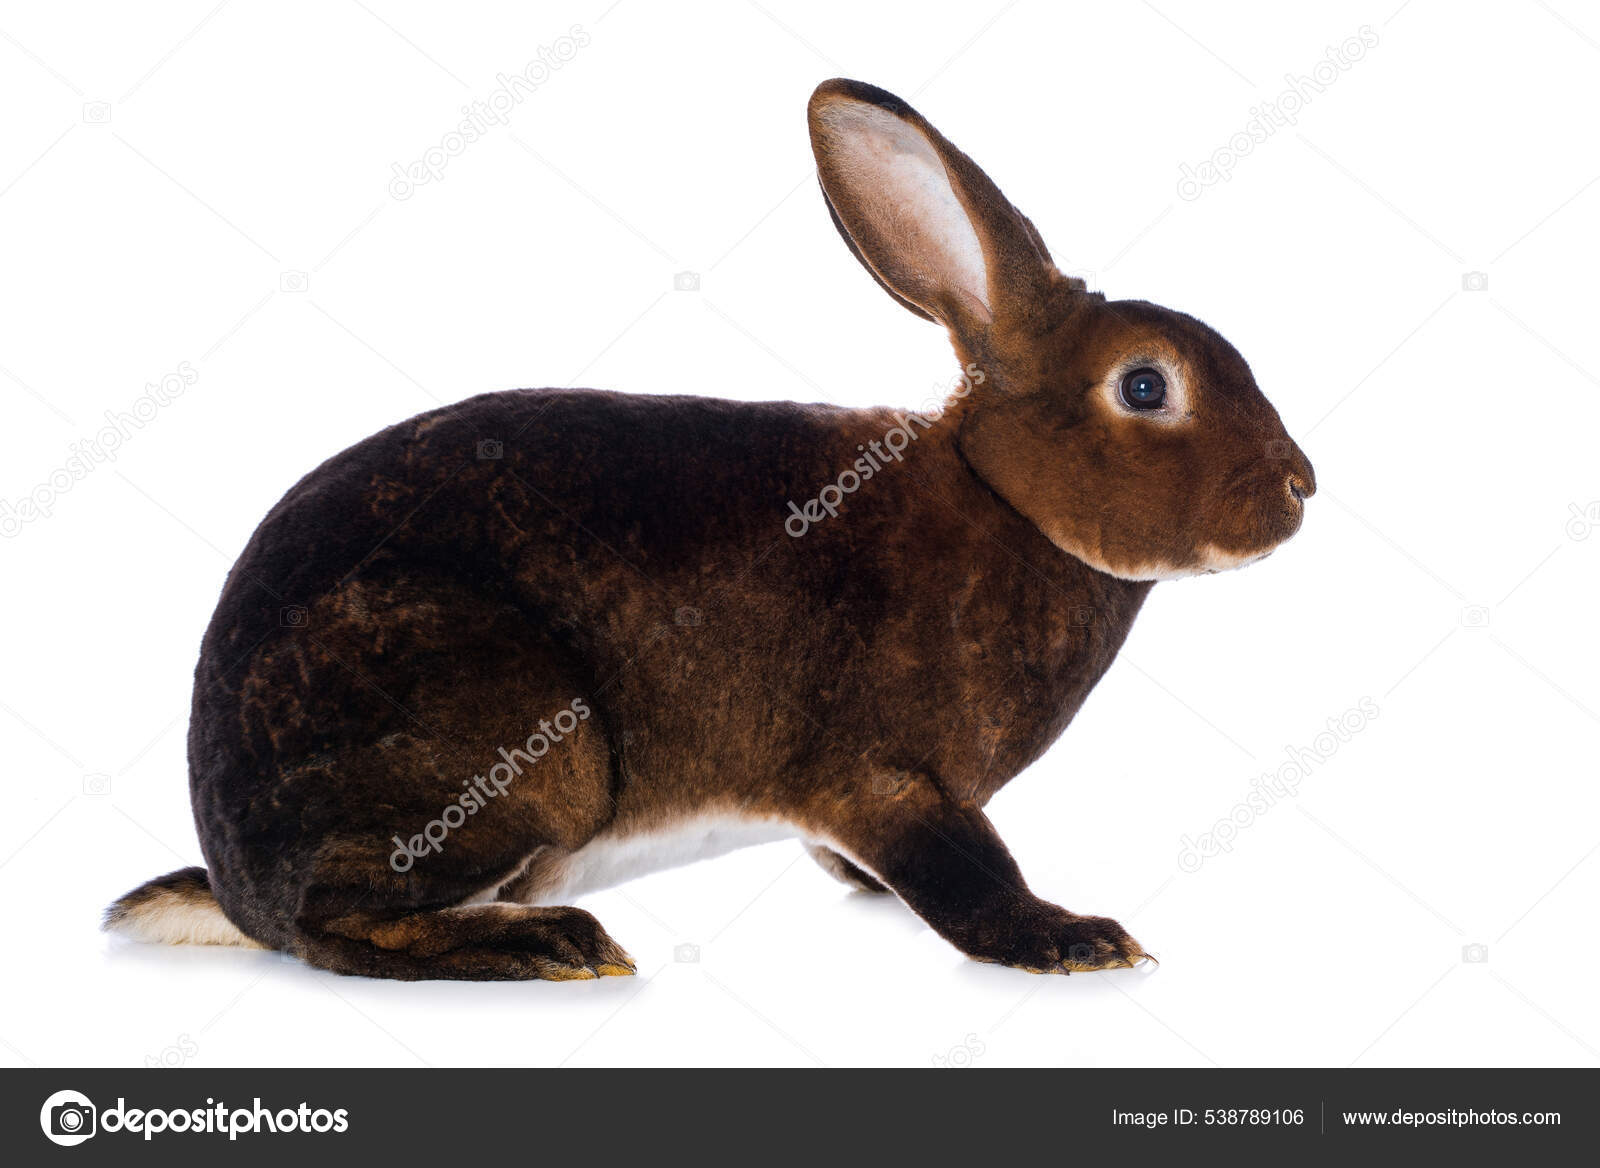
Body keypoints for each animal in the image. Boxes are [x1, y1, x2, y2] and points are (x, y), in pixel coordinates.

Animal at [105, 78, 1314, 981]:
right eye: (1147, 387)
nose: (1301, 486)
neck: (1001, 498)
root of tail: (236, 881)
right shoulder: (884, 778)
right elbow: (967, 880)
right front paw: (1073, 939)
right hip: (505, 740)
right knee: (342, 924)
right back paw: (553, 945)